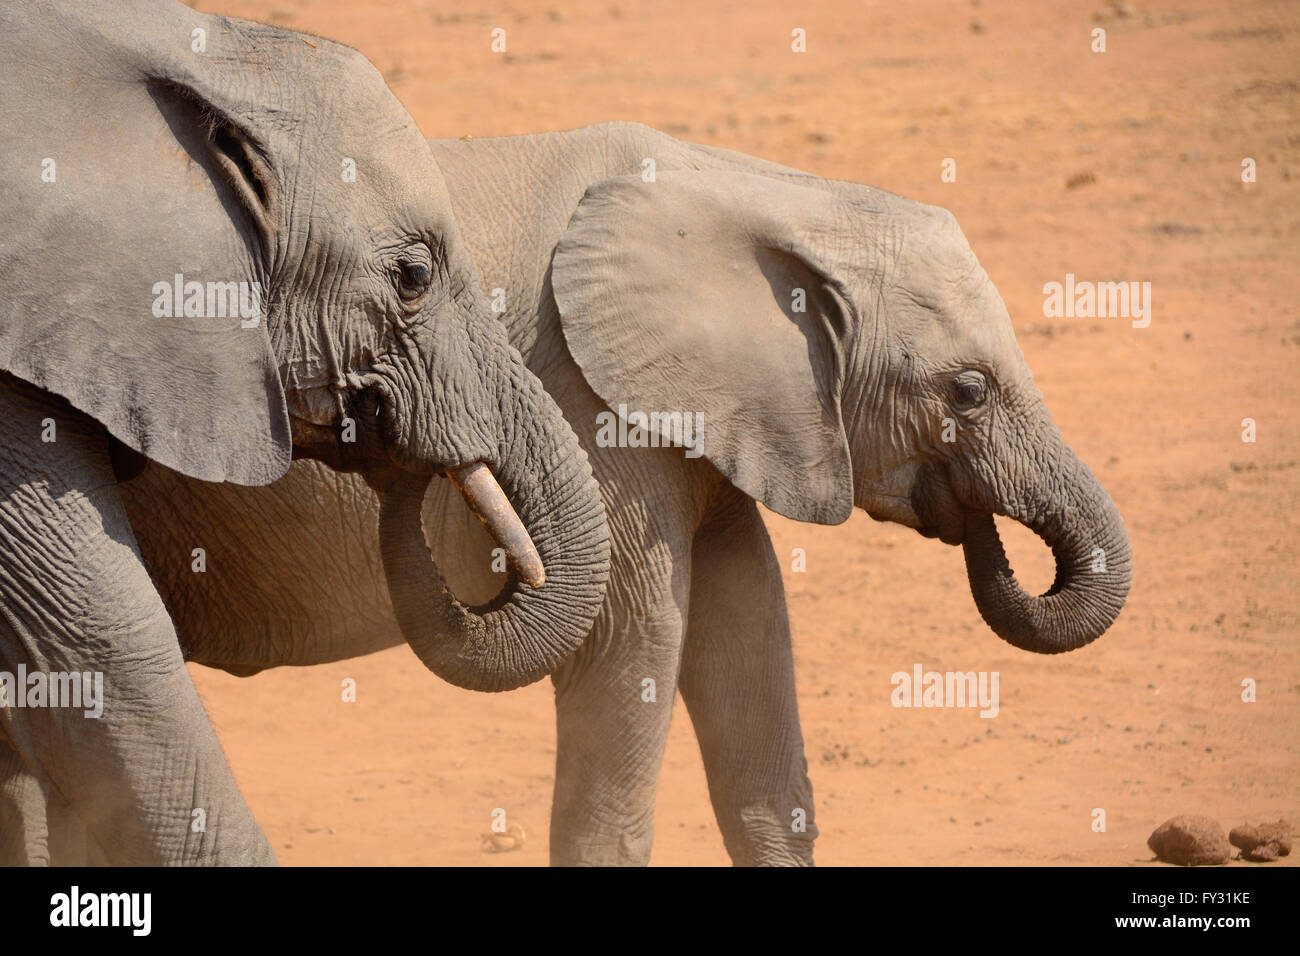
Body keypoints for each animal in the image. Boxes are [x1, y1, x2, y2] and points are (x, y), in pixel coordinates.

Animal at [2, 120, 1131, 866]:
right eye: (968, 392)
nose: (981, 528)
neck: (759, 196)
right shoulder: (593, 401)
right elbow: (634, 644)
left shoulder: (714, 424)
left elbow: (746, 630)